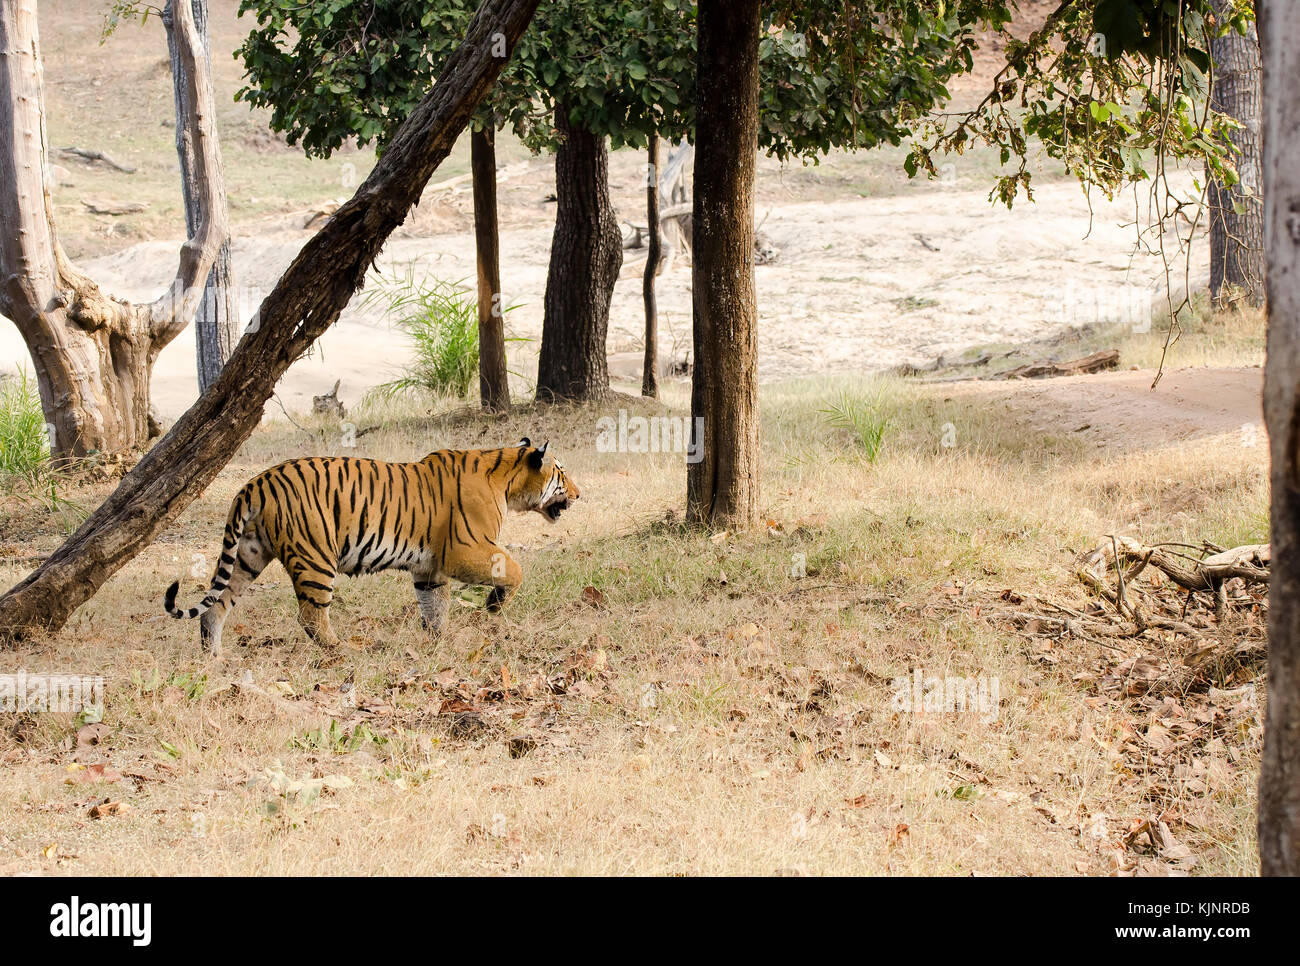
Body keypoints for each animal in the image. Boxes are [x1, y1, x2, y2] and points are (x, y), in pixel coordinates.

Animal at [163, 438, 579, 655]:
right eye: (562, 473)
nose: (578, 494)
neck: (506, 476)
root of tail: (254, 484)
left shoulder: (430, 568)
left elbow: (435, 607)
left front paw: (438, 642)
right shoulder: (466, 549)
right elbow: (515, 569)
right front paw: (494, 605)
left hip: (249, 556)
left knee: (214, 607)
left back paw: (214, 659)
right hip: (316, 558)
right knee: (311, 617)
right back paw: (344, 651)